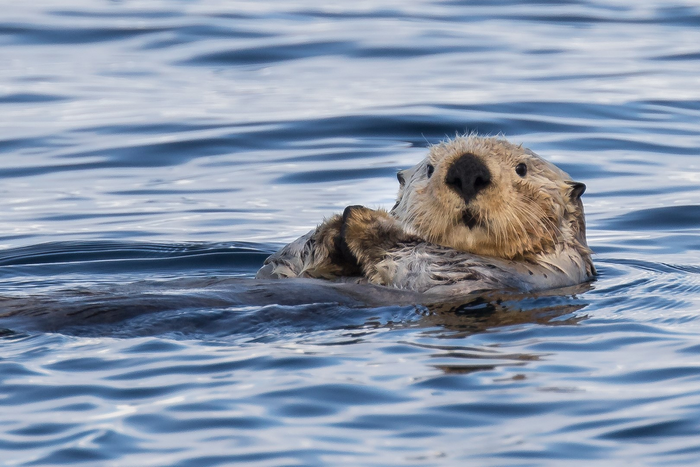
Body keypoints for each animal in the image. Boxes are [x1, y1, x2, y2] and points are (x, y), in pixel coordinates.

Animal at [256, 135, 595, 295]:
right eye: (430, 168)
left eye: (521, 168)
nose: (467, 169)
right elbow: (283, 261)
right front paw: (336, 226)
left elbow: (410, 262)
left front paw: (362, 219)